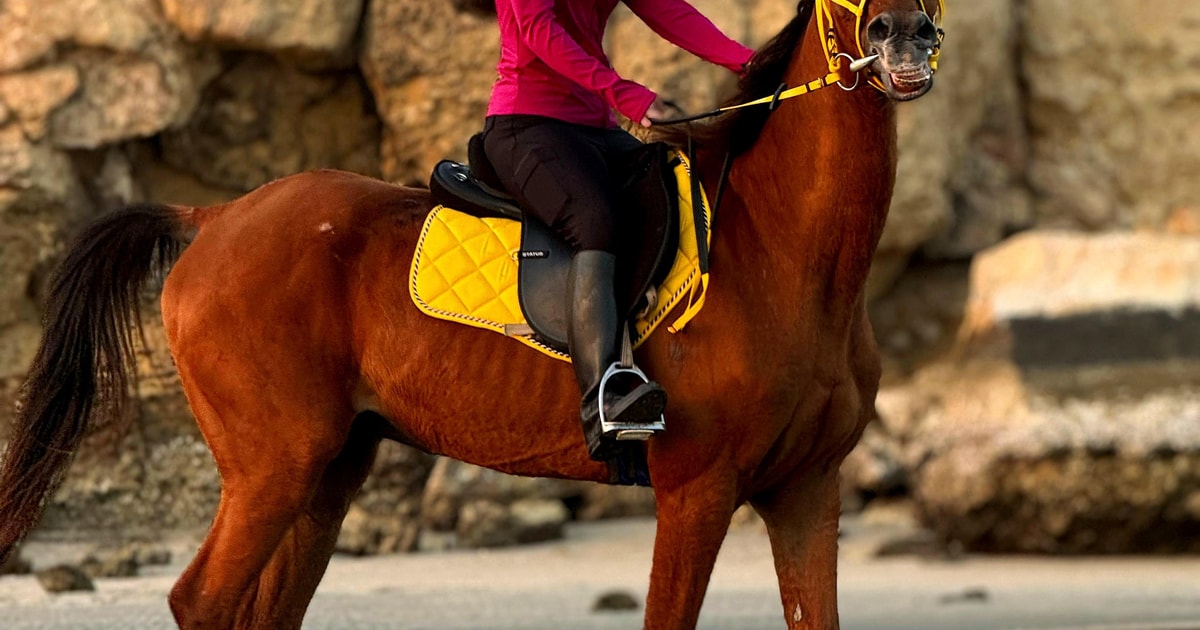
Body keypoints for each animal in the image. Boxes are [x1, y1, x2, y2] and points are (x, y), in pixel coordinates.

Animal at [0, 0, 943, 627]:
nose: (905, 33)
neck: (783, 251)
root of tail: (216, 217)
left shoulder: (807, 495)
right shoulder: (697, 490)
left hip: (325, 472)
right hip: (273, 465)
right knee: (200, 601)